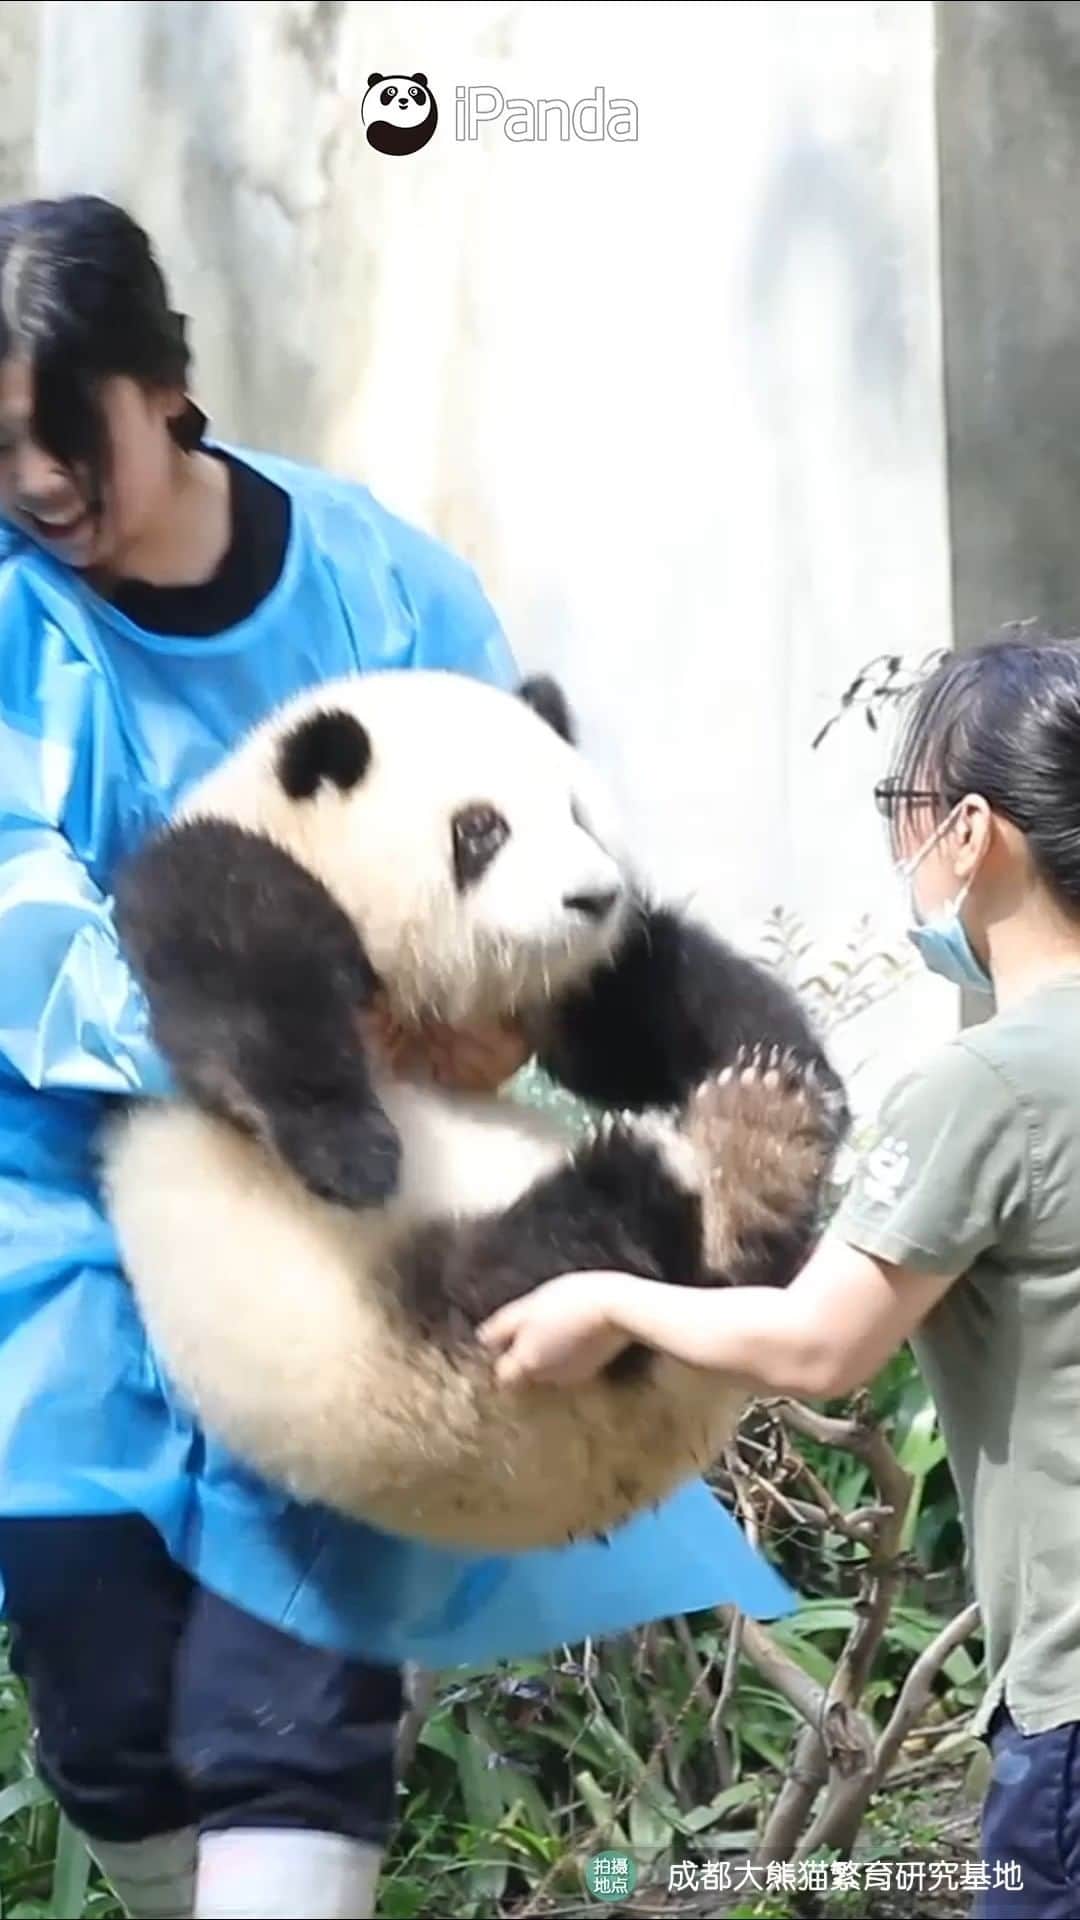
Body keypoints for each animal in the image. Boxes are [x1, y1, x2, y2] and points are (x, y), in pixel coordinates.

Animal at [100, 669, 849, 1552]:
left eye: (577, 813)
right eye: (483, 829)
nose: (594, 897)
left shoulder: (566, 989)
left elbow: (636, 1008)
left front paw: (798, 1074)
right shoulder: (213, 865)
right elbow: (235, 958)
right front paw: (350, 1148)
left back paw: (762, 1151)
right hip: (413, 1344)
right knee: (520, 1266)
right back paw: (676, 1179)